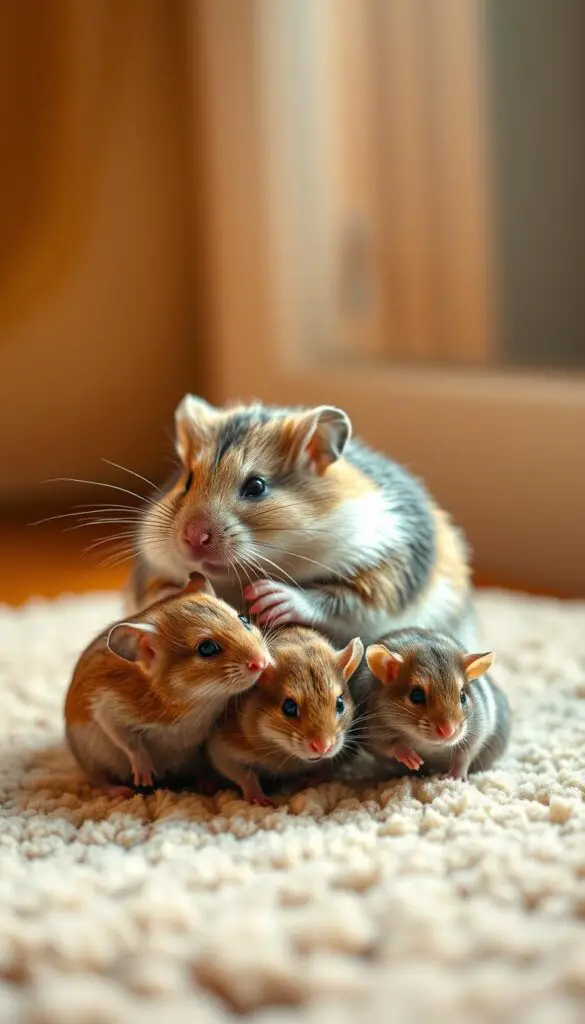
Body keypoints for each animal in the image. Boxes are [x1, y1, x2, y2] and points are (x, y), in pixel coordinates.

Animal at [64, 575, 271, 793]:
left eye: (244, 620)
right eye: (207, 648)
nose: (263, 663)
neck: (197, 703)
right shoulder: (108, 706)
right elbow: (130, 742)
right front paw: (145, 777)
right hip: (90, 759)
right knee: (99, 780)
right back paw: (120, 792)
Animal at [125, 395, 476, 649]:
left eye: (256, 486)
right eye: (186, 483)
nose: (193, 539)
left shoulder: (384, 571)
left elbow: (342, 600)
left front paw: (267, 599)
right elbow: (156, 590)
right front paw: (175, 594)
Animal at [206, 627, 364, 805]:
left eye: (340, 704)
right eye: (289, 707)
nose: (323, 748)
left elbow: (328, 768)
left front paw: (311, 781)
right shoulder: (224, 746)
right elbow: (244, 774)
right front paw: (261, 800)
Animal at [355, 628, 510, 780]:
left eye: (462, 696)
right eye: (416, 696)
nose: (449, 732)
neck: (430, 746)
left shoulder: (477, 732)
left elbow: (463, 756)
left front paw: (454, 777)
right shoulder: (372, 732)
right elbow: (389, 746)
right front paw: (411, 757)